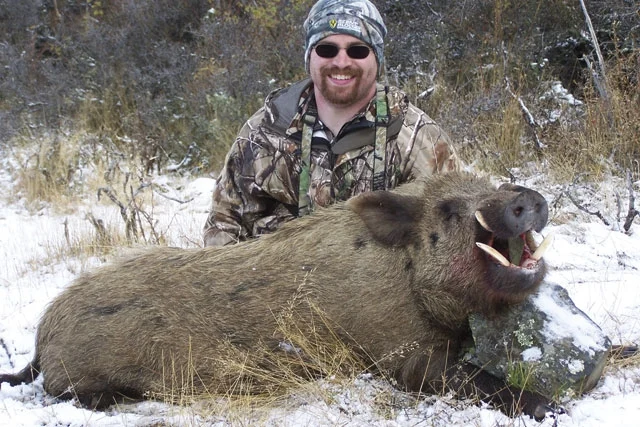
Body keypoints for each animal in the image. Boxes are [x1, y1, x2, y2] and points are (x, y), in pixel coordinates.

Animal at [0, 172, 553, 419]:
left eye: (485, 181)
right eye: (447, 209)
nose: (527, 196)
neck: (408, 280)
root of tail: (42, 336)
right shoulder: (404, 359)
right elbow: (479, 382)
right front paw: (549, 406)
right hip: (78, 381)